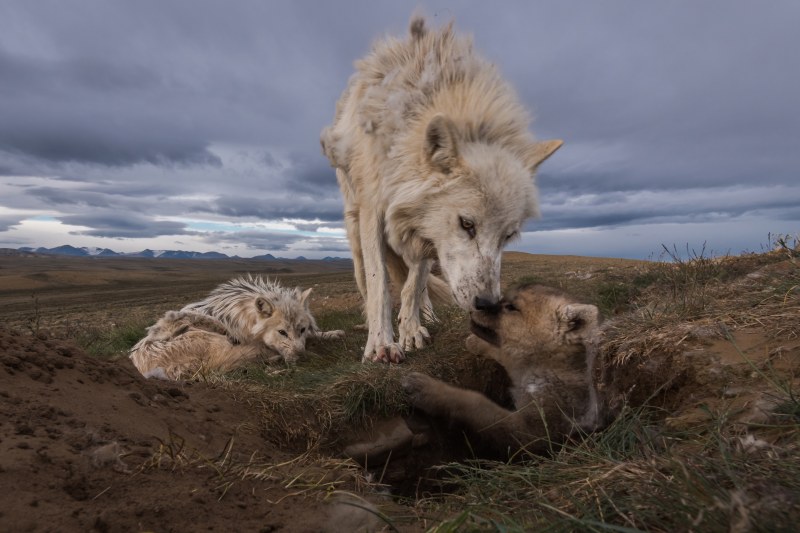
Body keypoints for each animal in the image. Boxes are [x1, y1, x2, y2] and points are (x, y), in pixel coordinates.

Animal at [321, 16, 562, 363]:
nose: (488, 304)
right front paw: (381, 344)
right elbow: (379, 284)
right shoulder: (376, 210)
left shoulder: (425, 229)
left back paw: (426, 317)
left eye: (508, 236)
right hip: (353, 224)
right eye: (467, 224)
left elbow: (415, 282)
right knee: (365, 278)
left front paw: (411, 330)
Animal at [403, 284, 602, 458]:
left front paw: (427, 389)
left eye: (511, 307)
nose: (478, 302)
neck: (548, 365)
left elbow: (476, 402)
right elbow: (500, 351)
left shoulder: (531, 433)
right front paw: (475, 342)